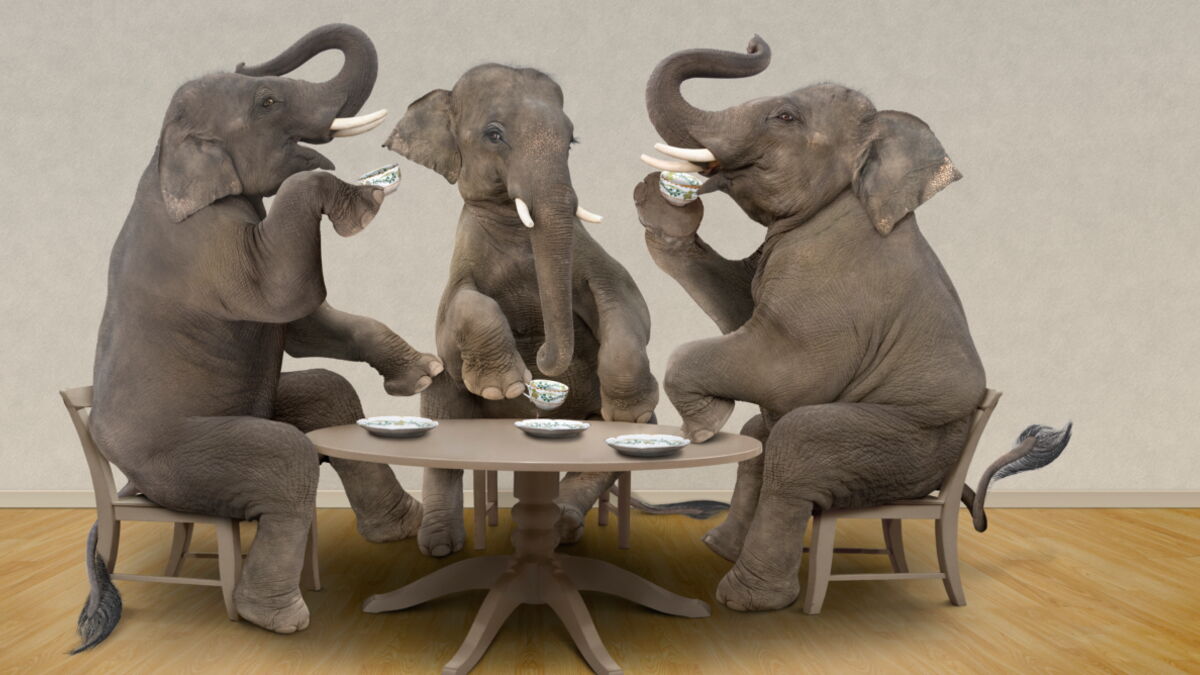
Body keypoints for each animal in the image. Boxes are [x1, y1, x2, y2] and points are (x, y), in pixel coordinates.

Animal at [77, 24, 442, 650]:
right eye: (267, 102)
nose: (245, 58)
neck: (164, 155)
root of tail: (129, 492)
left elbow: (302, 326)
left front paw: (425, 373)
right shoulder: (208, 250)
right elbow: (283, 294)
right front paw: (366, 205)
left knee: (327, 394)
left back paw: (401, 526)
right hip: (179, 461)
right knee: (286, 459)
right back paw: (276, 618)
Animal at [384, 64, 659, 556]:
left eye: (572, 140)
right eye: (494, 134)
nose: (542, 357)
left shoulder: (592, 255)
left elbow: (626, 300)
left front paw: (631, 415)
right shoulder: (462, 258)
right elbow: (456, 312)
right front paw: (503, 387)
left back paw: (564, 523)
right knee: (441, 412)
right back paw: (439, 545)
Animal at [633, 36, 998, 612]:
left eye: (785, 117)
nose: (753, 42)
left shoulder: (835, 290)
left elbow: (790, 370)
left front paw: (704, 425)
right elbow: (739, 309)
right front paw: (662, 200)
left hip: (903, 444)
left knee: (796, 445)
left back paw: (746, 600)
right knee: (759, 440)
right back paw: (719, 547)